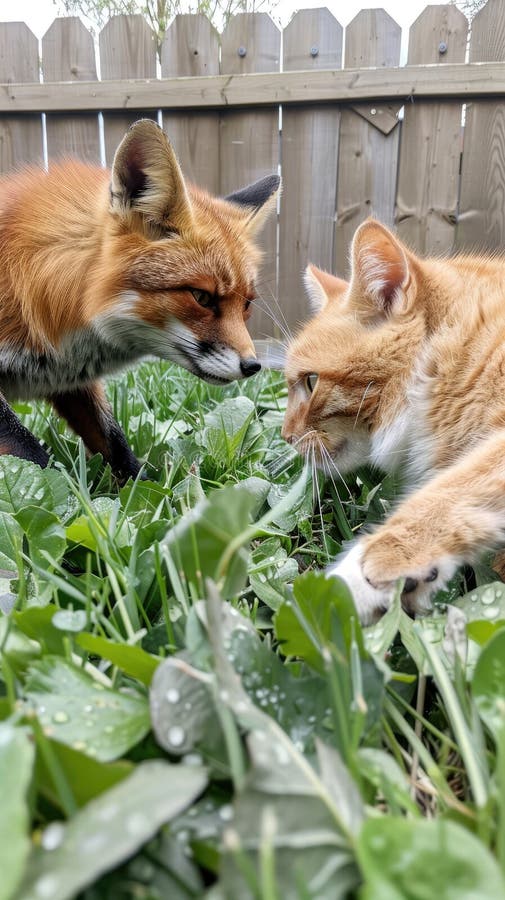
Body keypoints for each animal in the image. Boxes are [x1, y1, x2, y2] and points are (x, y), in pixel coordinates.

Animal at [0, 118, 280, 479]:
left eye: (246, 304)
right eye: (201, 297)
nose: (253, 366)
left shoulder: (70, 381)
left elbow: (115, 443)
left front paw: (139, 487)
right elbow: (32, 456)